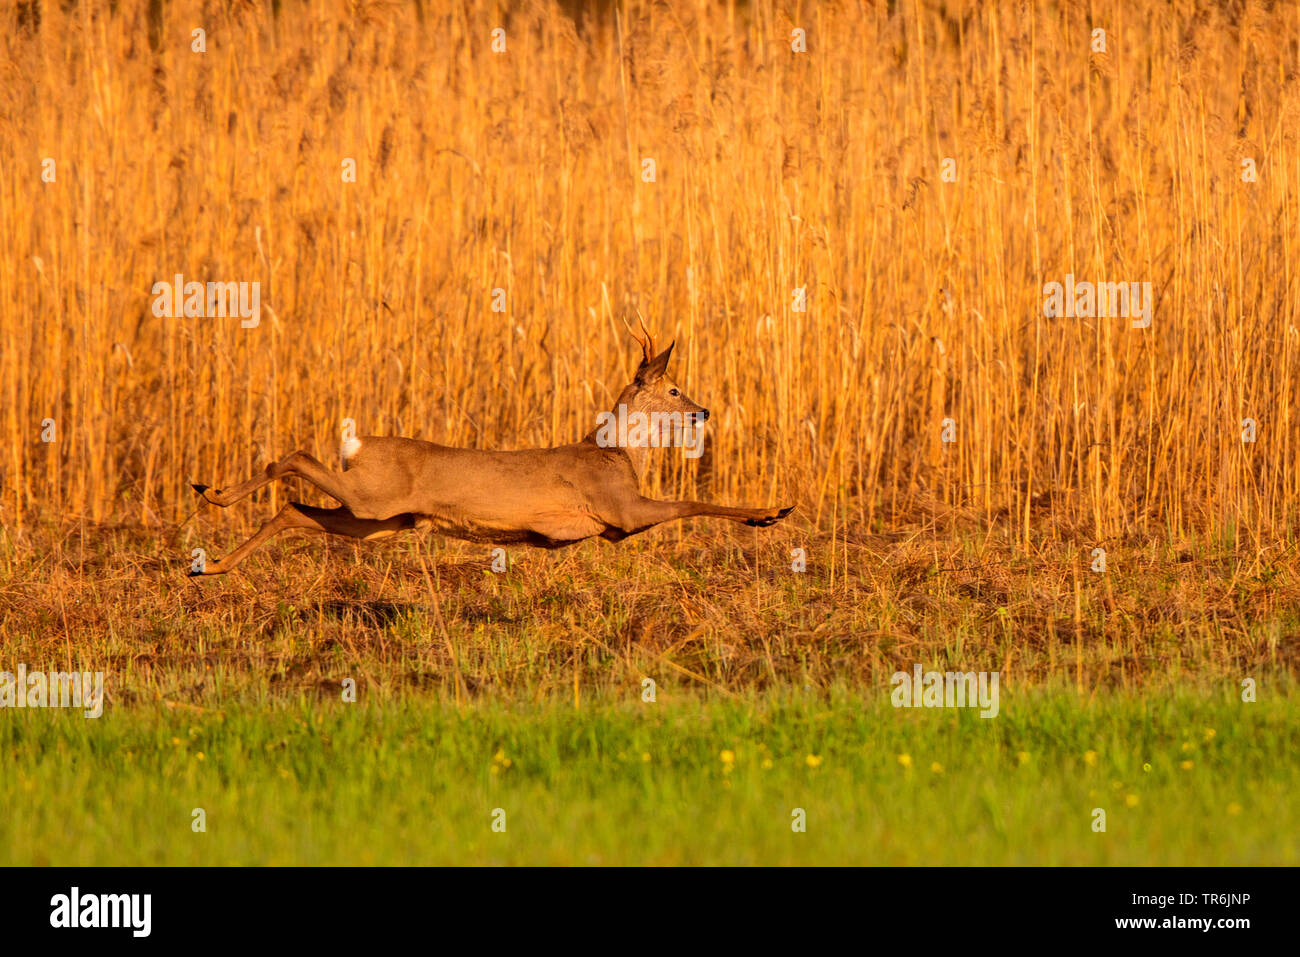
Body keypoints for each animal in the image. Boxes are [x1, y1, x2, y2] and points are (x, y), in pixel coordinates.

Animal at [187, 326, 794, 575]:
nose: (702, 411)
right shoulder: (619, 510)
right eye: (673, 390)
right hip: (373, 498)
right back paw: (212, 495)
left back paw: (211, 565)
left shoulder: (615, 521)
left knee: (294, 509)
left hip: (379, 519)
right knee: (290, 457)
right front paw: (771, 512)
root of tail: (359, 444)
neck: (619, 455)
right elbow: (691, 504)